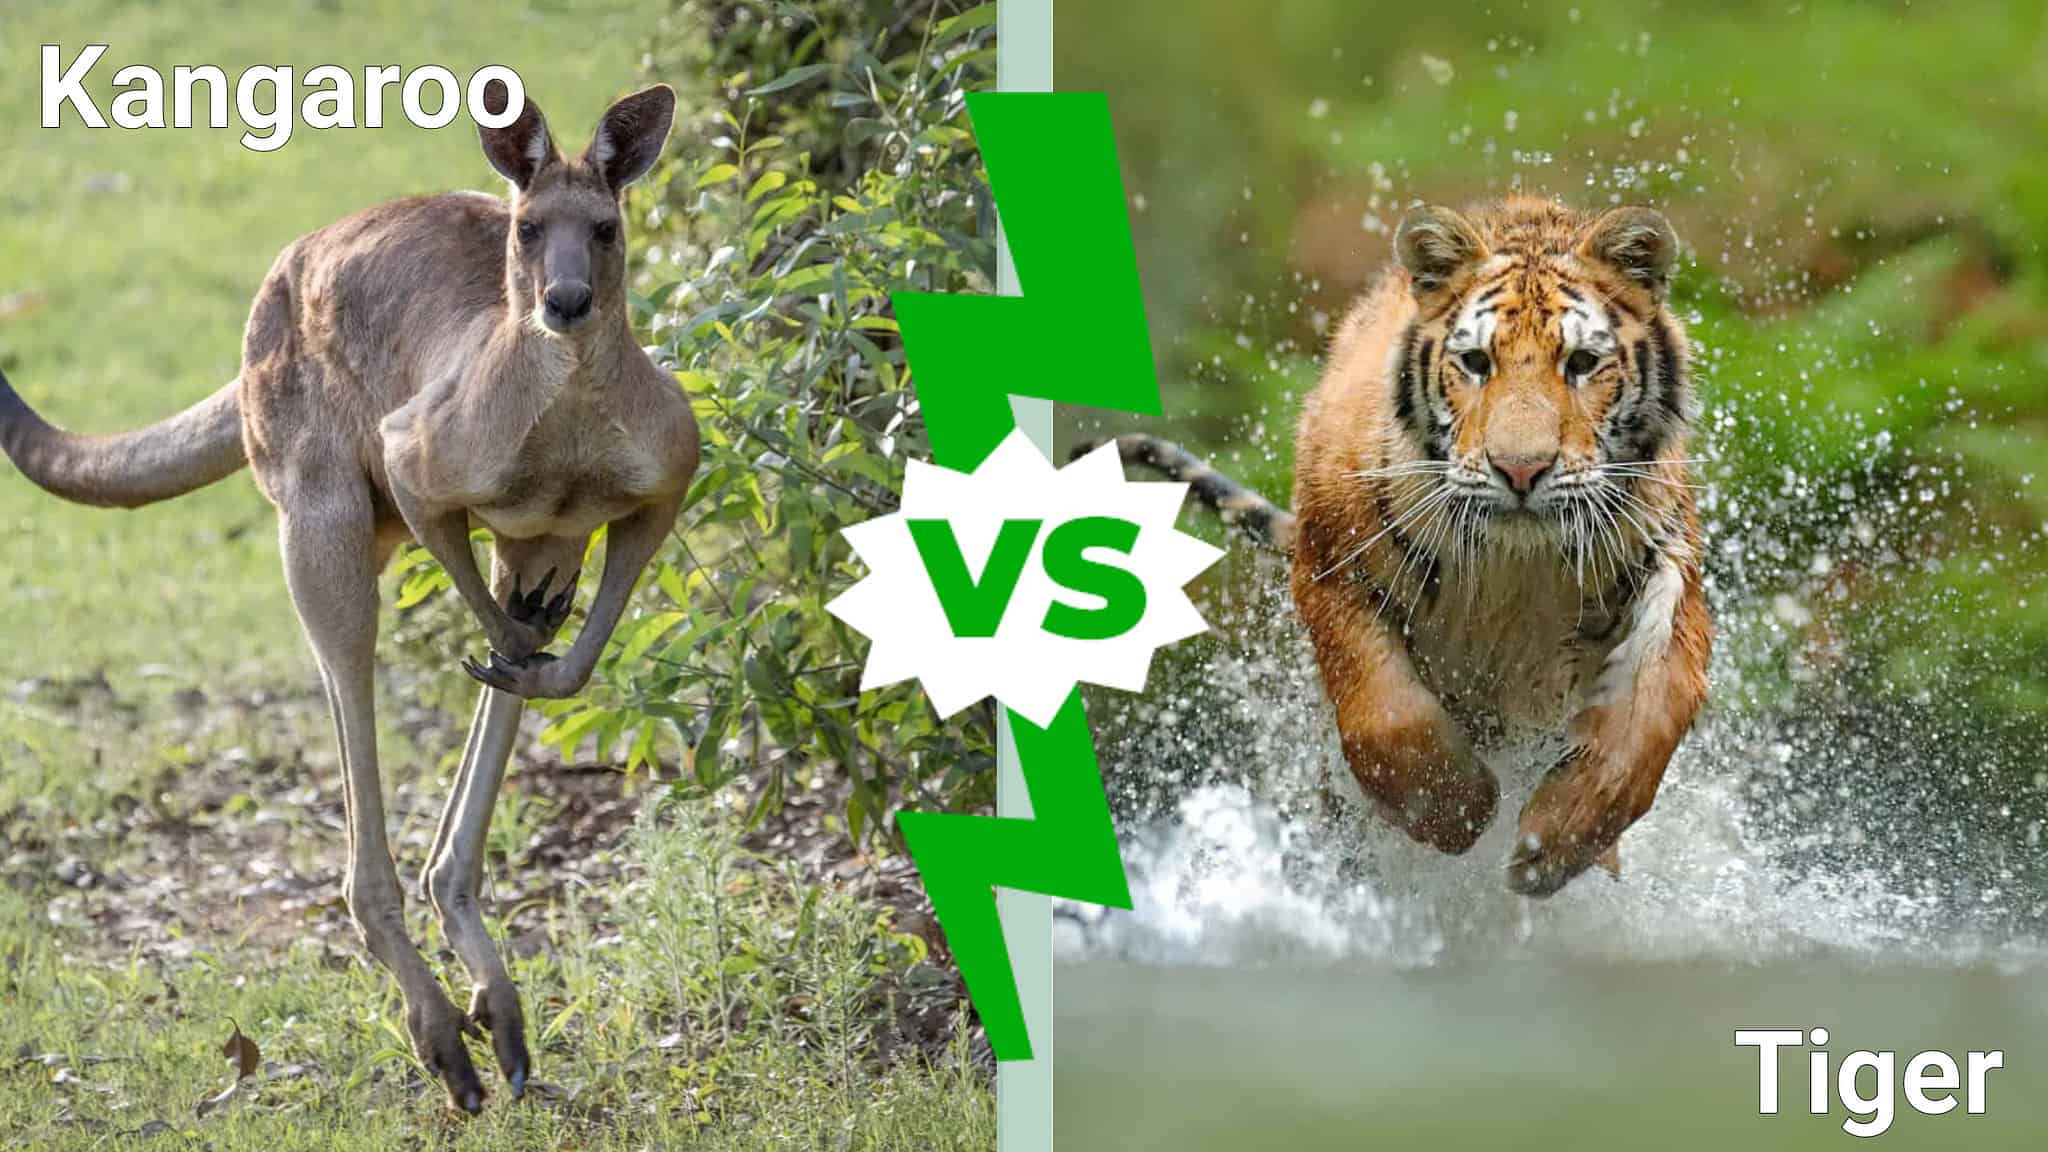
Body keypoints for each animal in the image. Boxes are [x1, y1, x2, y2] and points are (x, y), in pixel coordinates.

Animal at [1094, 196, 1711, 896]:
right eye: (1477, 363)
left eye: (1581, 363)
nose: (1521, 470)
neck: (1517, 563)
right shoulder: (1331, 567)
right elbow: (1386, 715)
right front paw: (1457, 813)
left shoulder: (1668, 563)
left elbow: (1650, 714)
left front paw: (1554, 843)